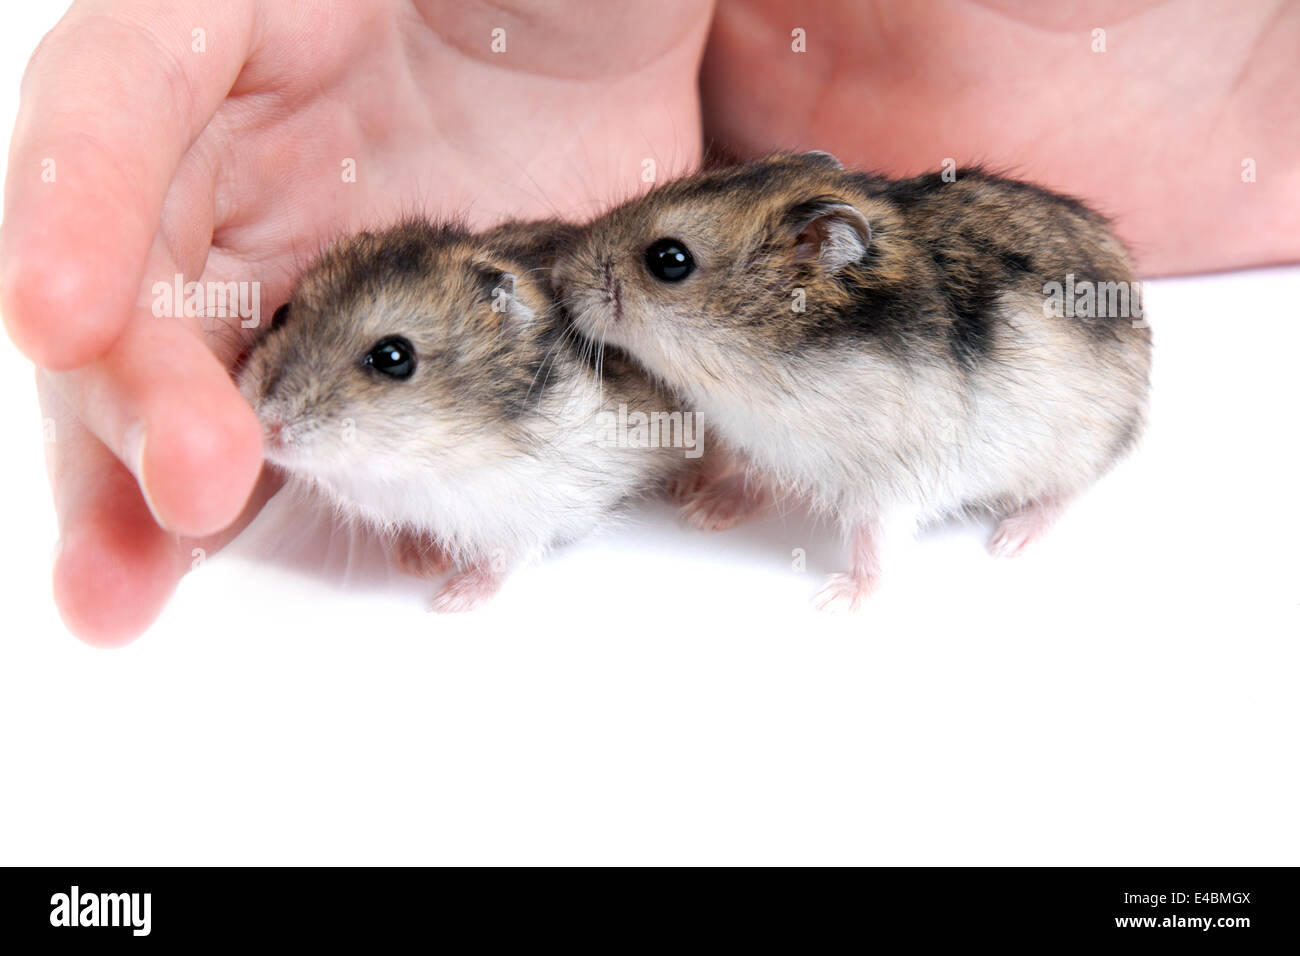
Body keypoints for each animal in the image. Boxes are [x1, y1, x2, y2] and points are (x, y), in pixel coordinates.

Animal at [237, 218, 690, 611]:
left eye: (393, 357)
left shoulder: (540, 507)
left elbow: (505, 557)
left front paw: (449, 600)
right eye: (280, 313)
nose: (265, 429)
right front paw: (418, 562)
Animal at [553, 151, 1152, 610]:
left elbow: (874, 544)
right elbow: (751, 475)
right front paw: (698, 508)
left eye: (670, 260)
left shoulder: (890, 481)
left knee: (1067, 491)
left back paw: (1011, 539)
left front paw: (837, 598)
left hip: (1073, 448)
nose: (560, 275)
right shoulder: (768, 439)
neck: (754, 367)